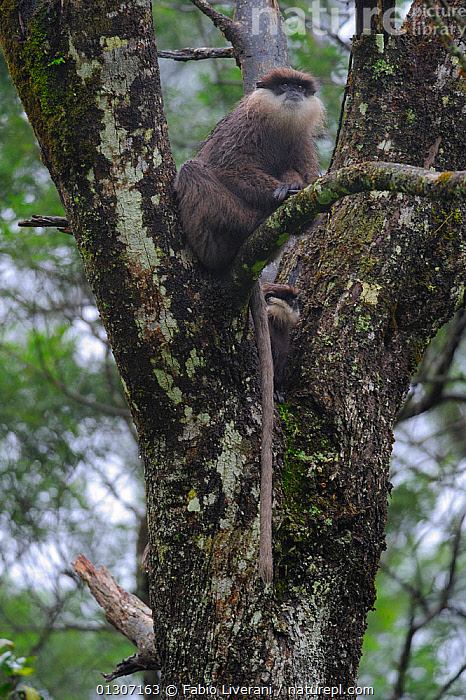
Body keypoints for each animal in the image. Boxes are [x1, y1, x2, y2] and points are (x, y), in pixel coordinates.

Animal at [174, 68, 324, 583]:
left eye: (301, 87)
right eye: (282, 86)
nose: (294, 92)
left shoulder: (301, 140)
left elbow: (308, 176)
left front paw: (295, 188)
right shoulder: (243, 126)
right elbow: (227, 163)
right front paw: (280, 192)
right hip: (219, 220)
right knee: (193, 173)